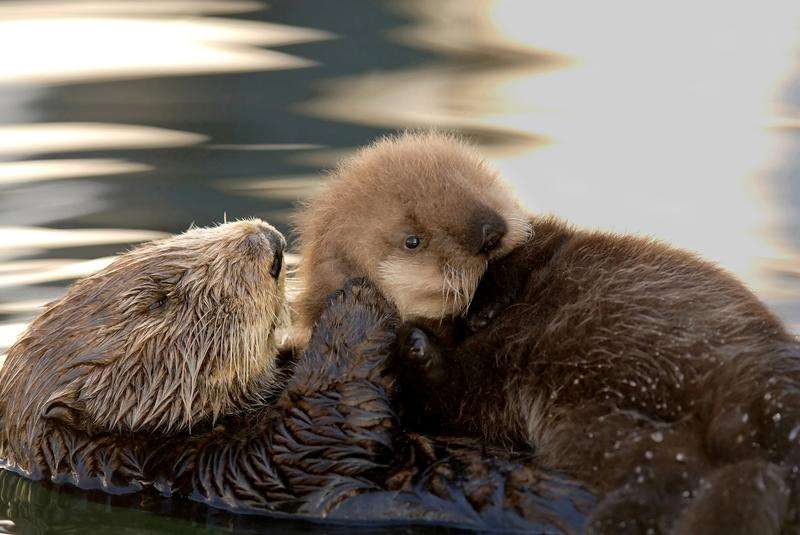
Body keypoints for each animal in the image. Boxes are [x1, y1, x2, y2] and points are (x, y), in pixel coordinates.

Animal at [403, 215, 800, 533]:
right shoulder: (483, 395)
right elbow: (452, 399)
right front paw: (420, 344)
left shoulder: (542, 240)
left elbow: (532, 246)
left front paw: (478, 309)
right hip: (606, 434)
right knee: (676, 472)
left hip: (755, 372)